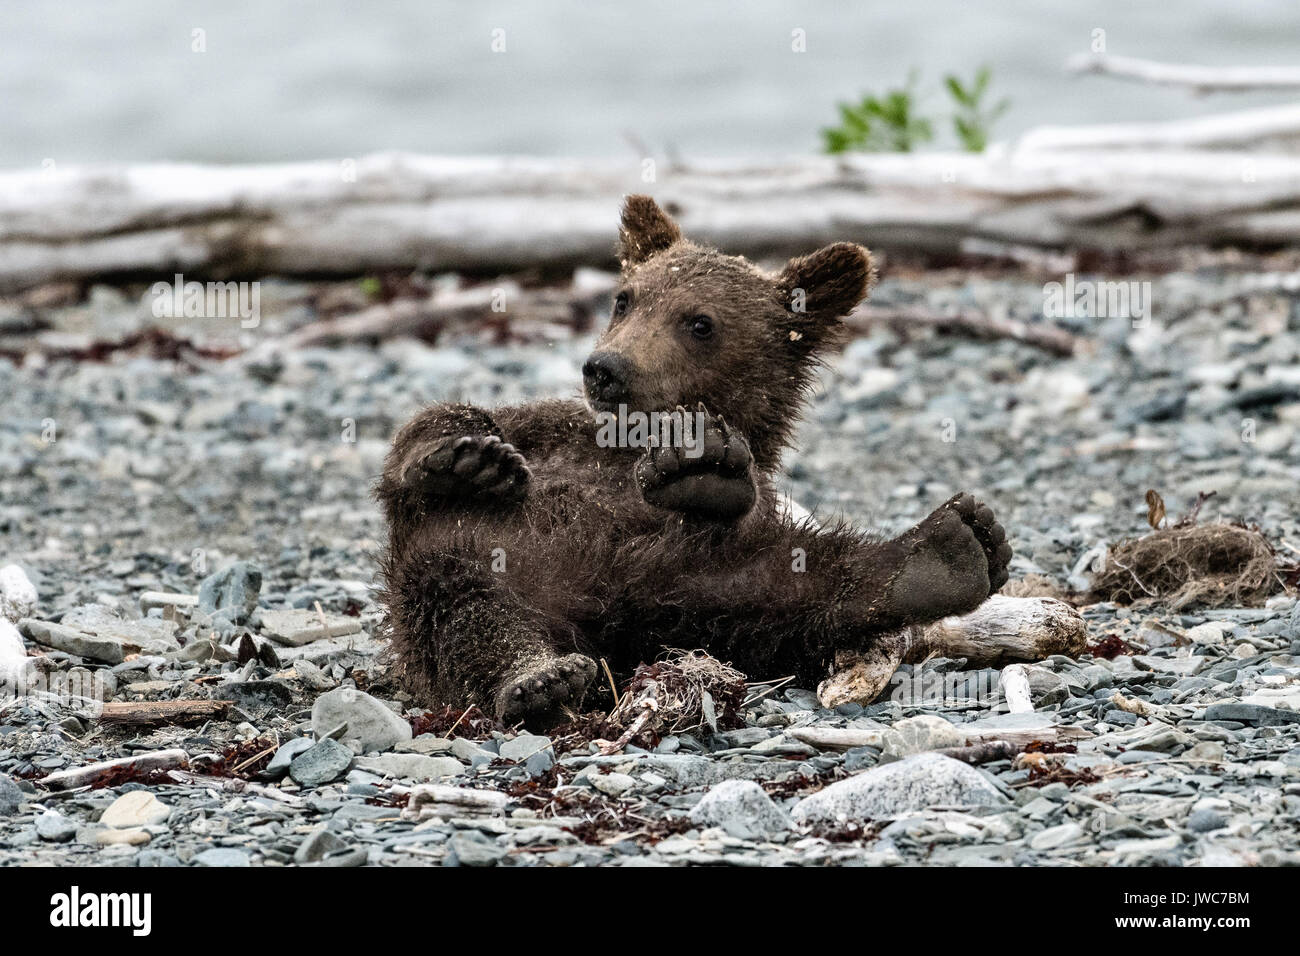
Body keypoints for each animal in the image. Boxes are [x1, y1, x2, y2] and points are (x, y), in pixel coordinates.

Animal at [375, 195, 1011, 729]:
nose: (606, 368)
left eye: (699, 322)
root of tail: (597, 606)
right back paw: (539, 677)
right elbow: (432, 432)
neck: (631, 442)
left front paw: (703, 469)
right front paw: (468, 458)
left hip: (703, 592)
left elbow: (743, 503)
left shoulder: (753, 500)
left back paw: (948, 553)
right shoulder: (550, 430)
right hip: (473, 557)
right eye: (625, 299)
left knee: (799, 588)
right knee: (462, 602)